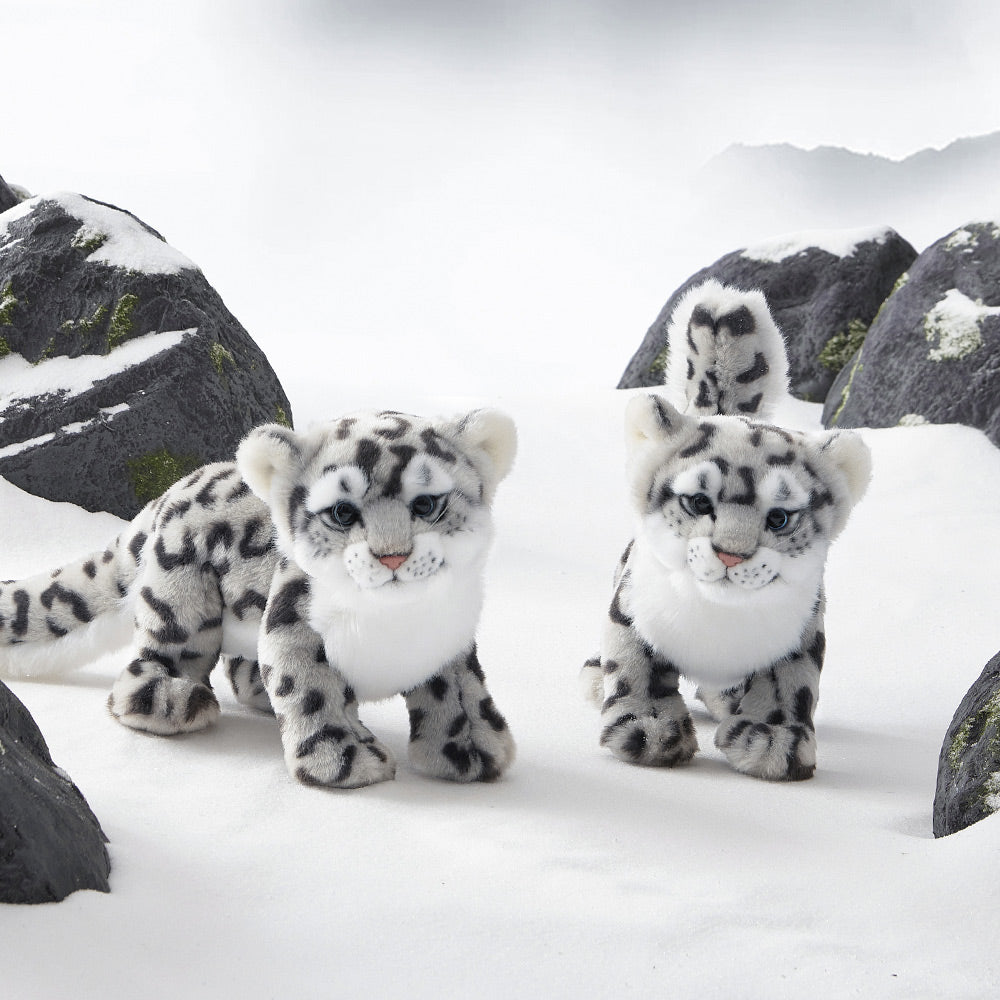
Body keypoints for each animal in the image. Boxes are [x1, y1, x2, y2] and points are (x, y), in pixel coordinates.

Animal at [0, 408, 518, 790]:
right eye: (342, 512)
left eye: (427, 503)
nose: (392, 556)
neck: (399, 625)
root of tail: (168, 493)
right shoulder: (294, 627)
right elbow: (312, 689)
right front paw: (348, 761)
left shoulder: (450, 645)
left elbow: (459, 695)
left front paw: (472, 751)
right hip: (181, 602)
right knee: (153, 663)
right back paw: (175, 700)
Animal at [581, 280, 872, 780]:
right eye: (699, 501)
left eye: (780, 517)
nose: (732, 554)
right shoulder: (632, 614)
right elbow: (637, 667)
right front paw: (650, 731)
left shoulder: (800, 637)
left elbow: (790, 685)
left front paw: (772, 741)